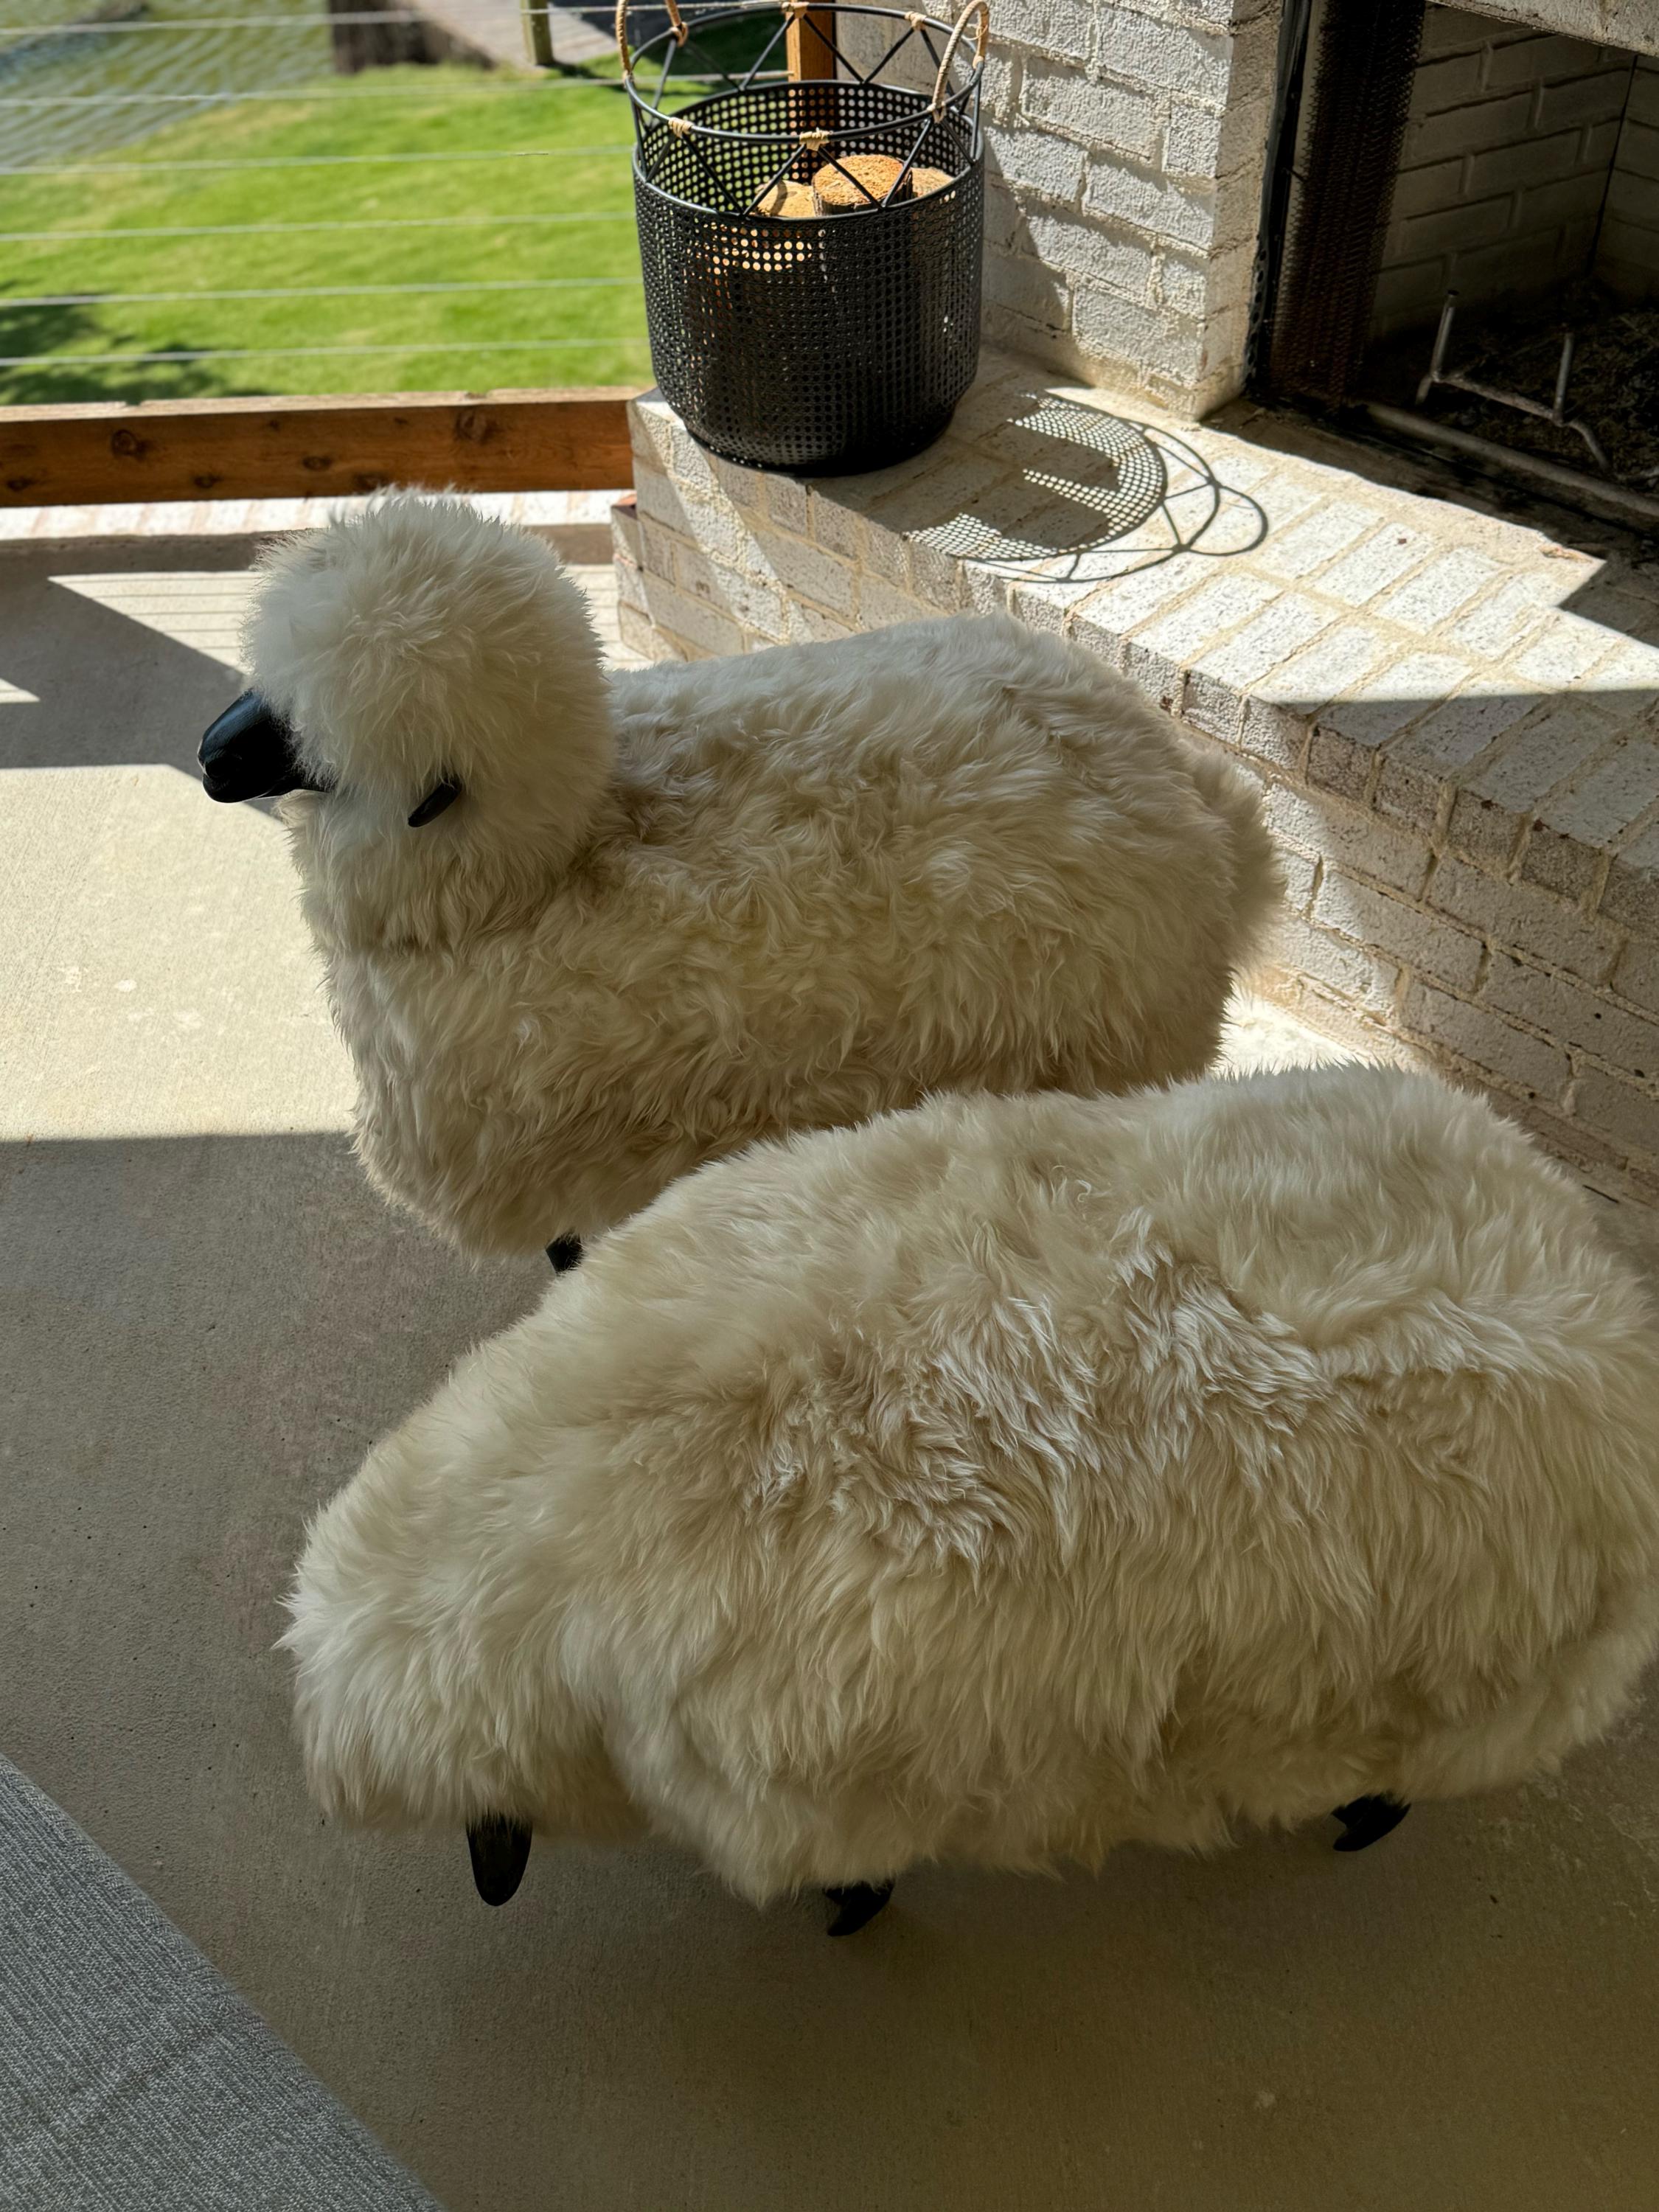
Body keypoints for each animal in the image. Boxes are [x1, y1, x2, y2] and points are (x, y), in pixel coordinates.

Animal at [198, 493, 1279, 1262]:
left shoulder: (566, 1164)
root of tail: (1207, 821)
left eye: (302, 739)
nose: (210, 757)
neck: (540, 868)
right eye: (265, 692)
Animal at [285, 1064, 1659, 1934]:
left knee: (1413, 1776)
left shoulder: (819, 1798)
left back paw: (1361, 1819)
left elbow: (857, 1880)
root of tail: (1596, 1287)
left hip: (1486, 1693)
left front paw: (849, 1919)